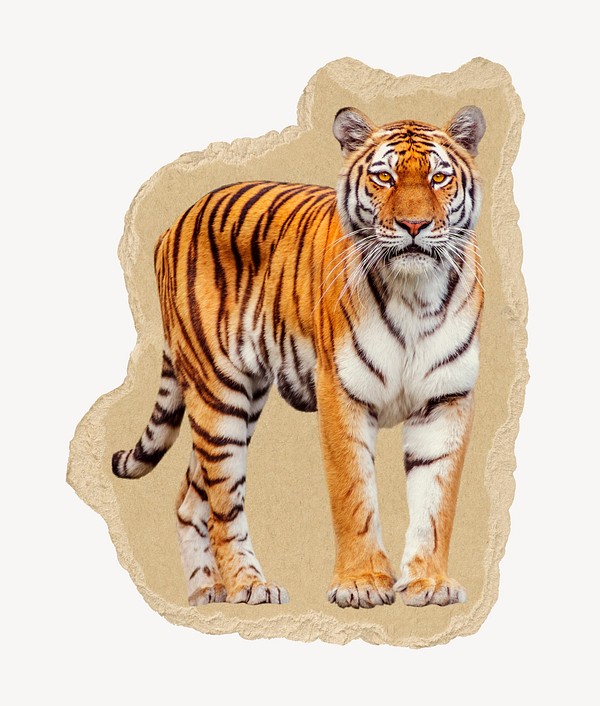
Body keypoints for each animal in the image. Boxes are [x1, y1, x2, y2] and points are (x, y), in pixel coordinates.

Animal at [112, 105, 485, 609]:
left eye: (439, 178)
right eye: (384, 177)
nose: (413, 226)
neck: (415, 294)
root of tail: (172, 224)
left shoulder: (446, 400)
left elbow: (436, 503)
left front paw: (430, 584)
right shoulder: (341, 394)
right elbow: (354, 496)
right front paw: (362, 584)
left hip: (241, 400)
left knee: (190, 499)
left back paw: (206, 592)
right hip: (218, 397)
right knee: (223, 506)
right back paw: (249, 586)